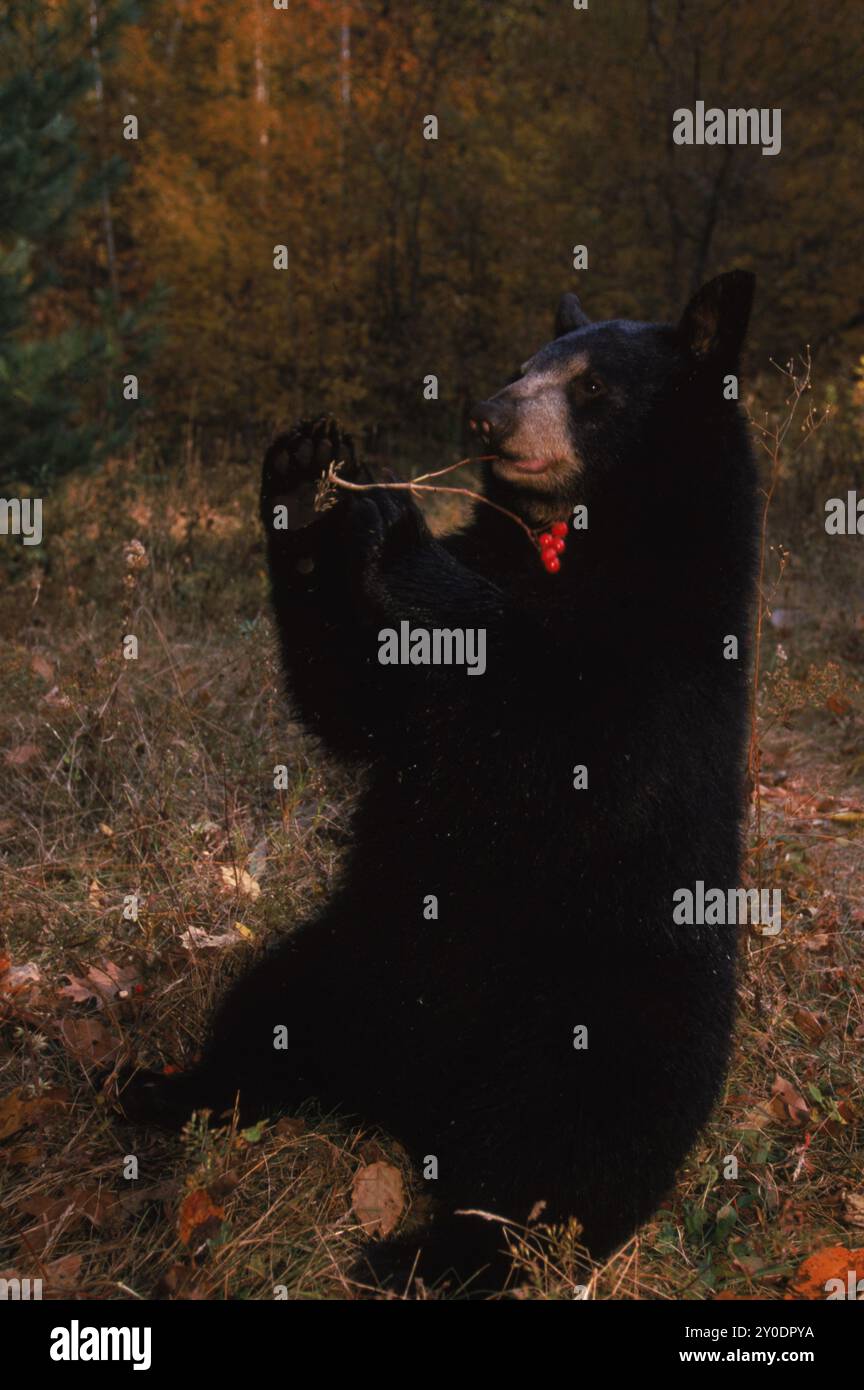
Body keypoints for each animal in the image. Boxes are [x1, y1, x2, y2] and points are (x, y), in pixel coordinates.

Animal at [119, 270, 758, 1295]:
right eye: (523, 362)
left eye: (591, 387)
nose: (486, 415)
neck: (566, 540)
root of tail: (405, 1110)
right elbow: (358, 696)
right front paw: (307, 481)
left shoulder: (670, 660)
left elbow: (562, 733)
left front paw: (394, 519)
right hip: (350, 953)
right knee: (265, 1014)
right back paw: (164, 1090)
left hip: (612, 1021)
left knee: (562, 1163)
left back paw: (420, 1253)